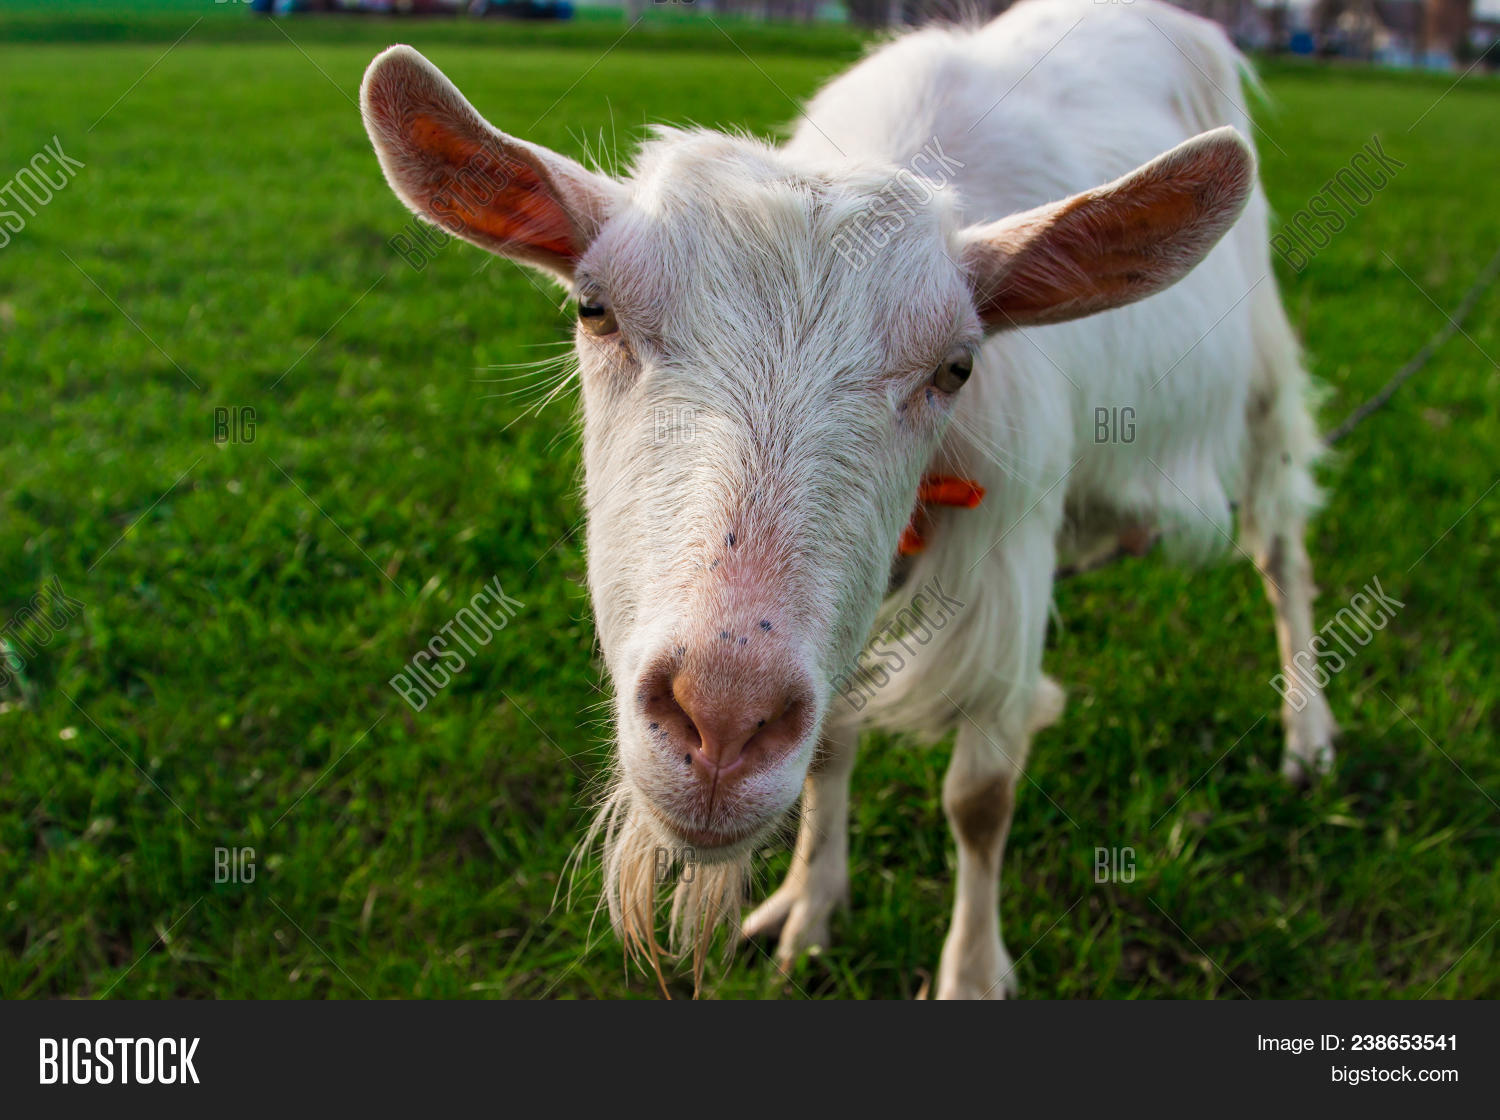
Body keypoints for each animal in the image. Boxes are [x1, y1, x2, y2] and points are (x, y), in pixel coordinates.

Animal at [361, 0, 1336, 997]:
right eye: (594, 309)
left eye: (957, 366)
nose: (723, 720)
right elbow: (831, 746)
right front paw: (808, 908)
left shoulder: (1009, 572)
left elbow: (981, 799)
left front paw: (969, 971)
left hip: (1262, 387)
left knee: (1281, 553)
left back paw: (1307, 733)